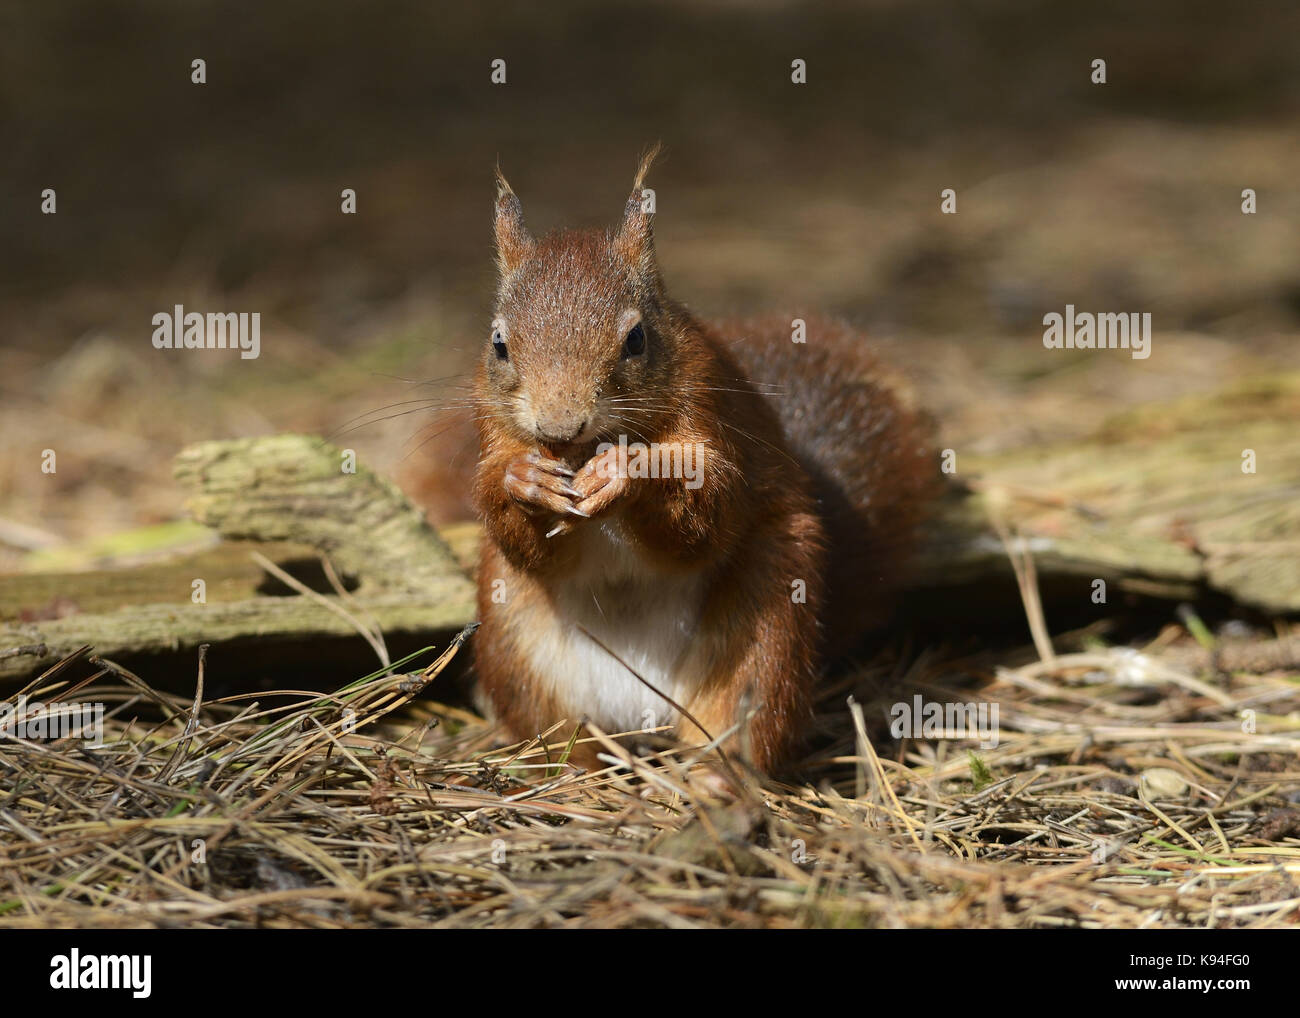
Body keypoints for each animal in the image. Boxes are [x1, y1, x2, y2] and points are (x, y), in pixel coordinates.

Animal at [468, 149, 937, 774]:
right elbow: (525, 541)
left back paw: (714, 779)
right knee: (558, 730)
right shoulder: (492, 434)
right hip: (513, 639)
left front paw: (628, 473)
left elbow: (704, 521)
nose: (559, 427)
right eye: (499, 344)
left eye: (637, 339)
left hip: (766, 622)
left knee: (738, 716)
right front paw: (524, 480)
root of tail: (637, 709)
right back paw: (566, 771)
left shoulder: (710, 412)